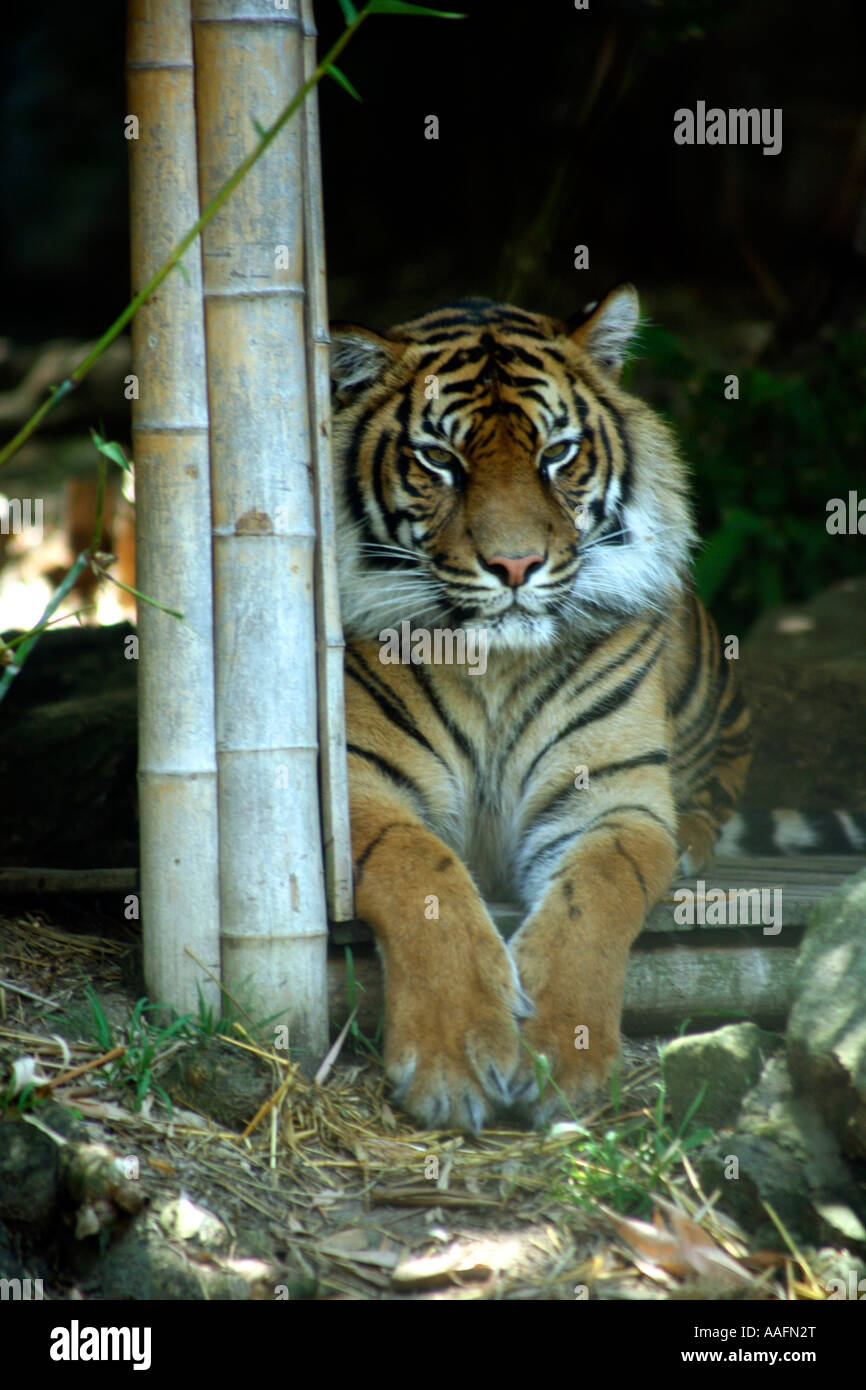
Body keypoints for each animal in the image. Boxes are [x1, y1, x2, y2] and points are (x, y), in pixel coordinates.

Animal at [328, 285, 752, 1133]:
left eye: (556, 454)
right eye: (440, 461)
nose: (516, 564)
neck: (497, 666)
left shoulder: (613, 801)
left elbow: (600, 893)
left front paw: (561, 1052)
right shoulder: (357, 784)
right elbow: (418, 870)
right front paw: (454, 1055)